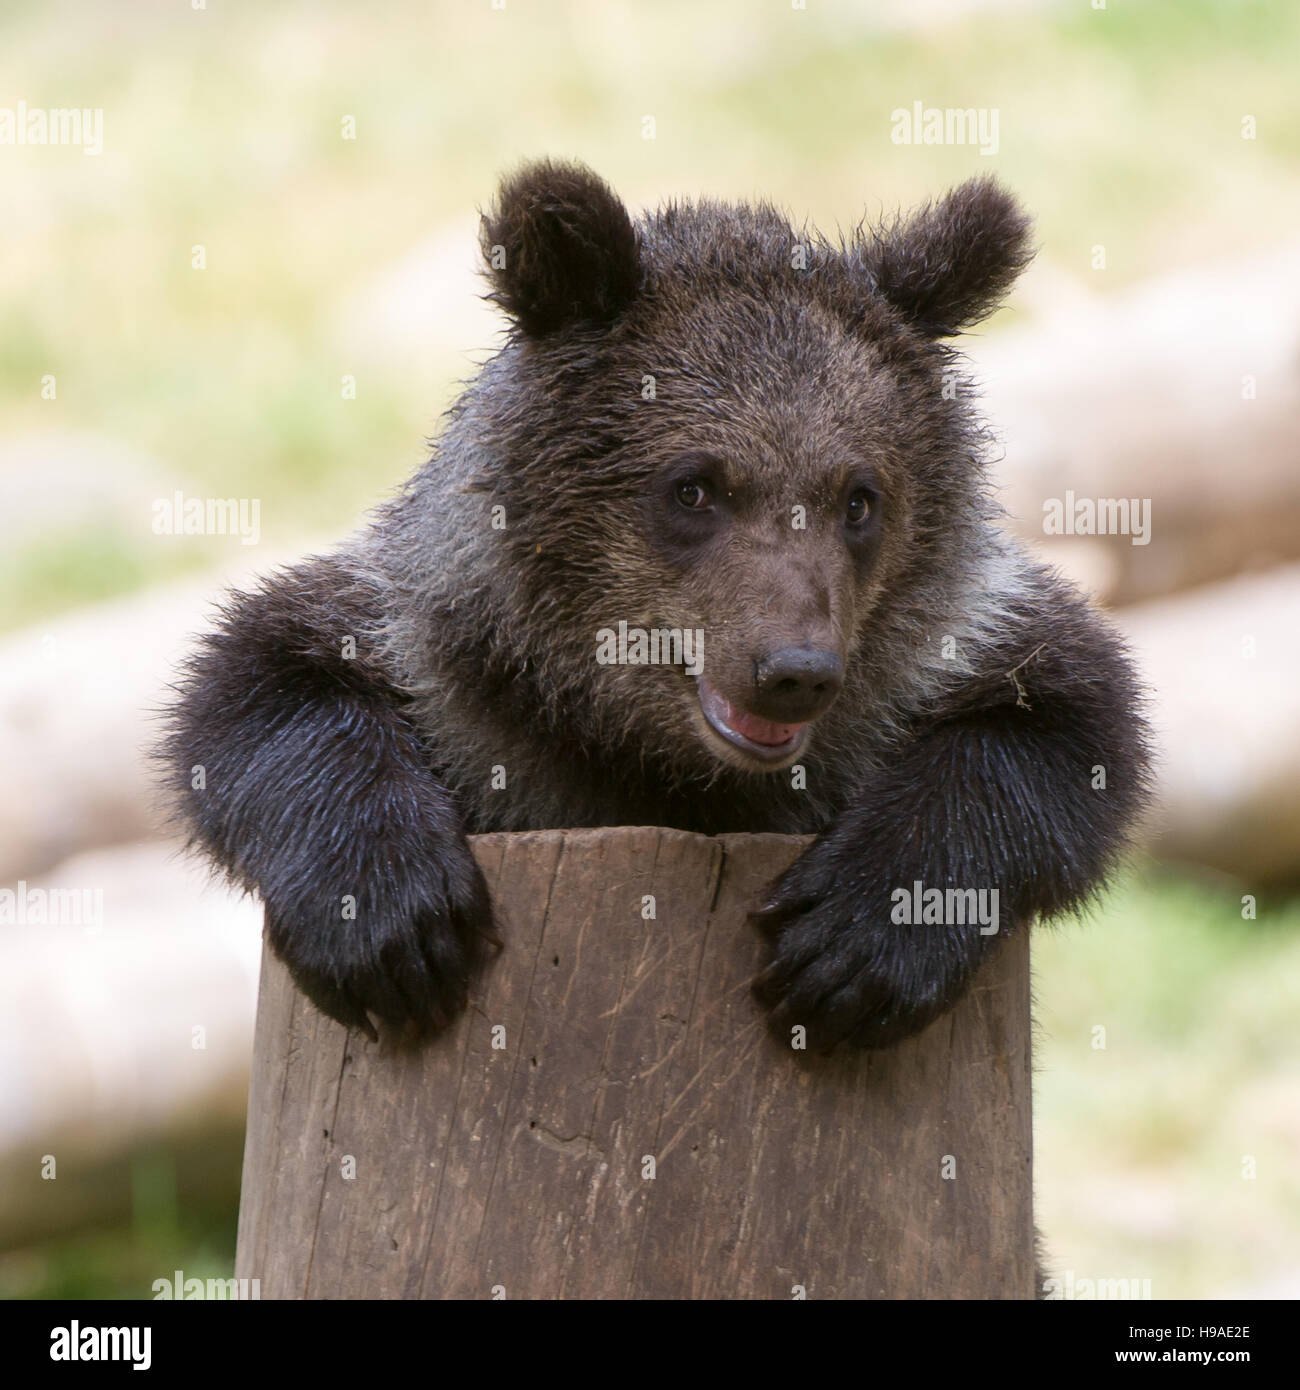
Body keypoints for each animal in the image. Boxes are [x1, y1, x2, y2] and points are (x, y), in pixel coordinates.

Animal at [162, 158, 1150, 1052]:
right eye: (695, 487)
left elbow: (1065, 723)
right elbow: (257, 685)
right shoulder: (451, 674)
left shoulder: (945, 653)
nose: (794, 671)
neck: (652, 758)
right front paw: (390, 931)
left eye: (860, 497)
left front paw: (850, 947)